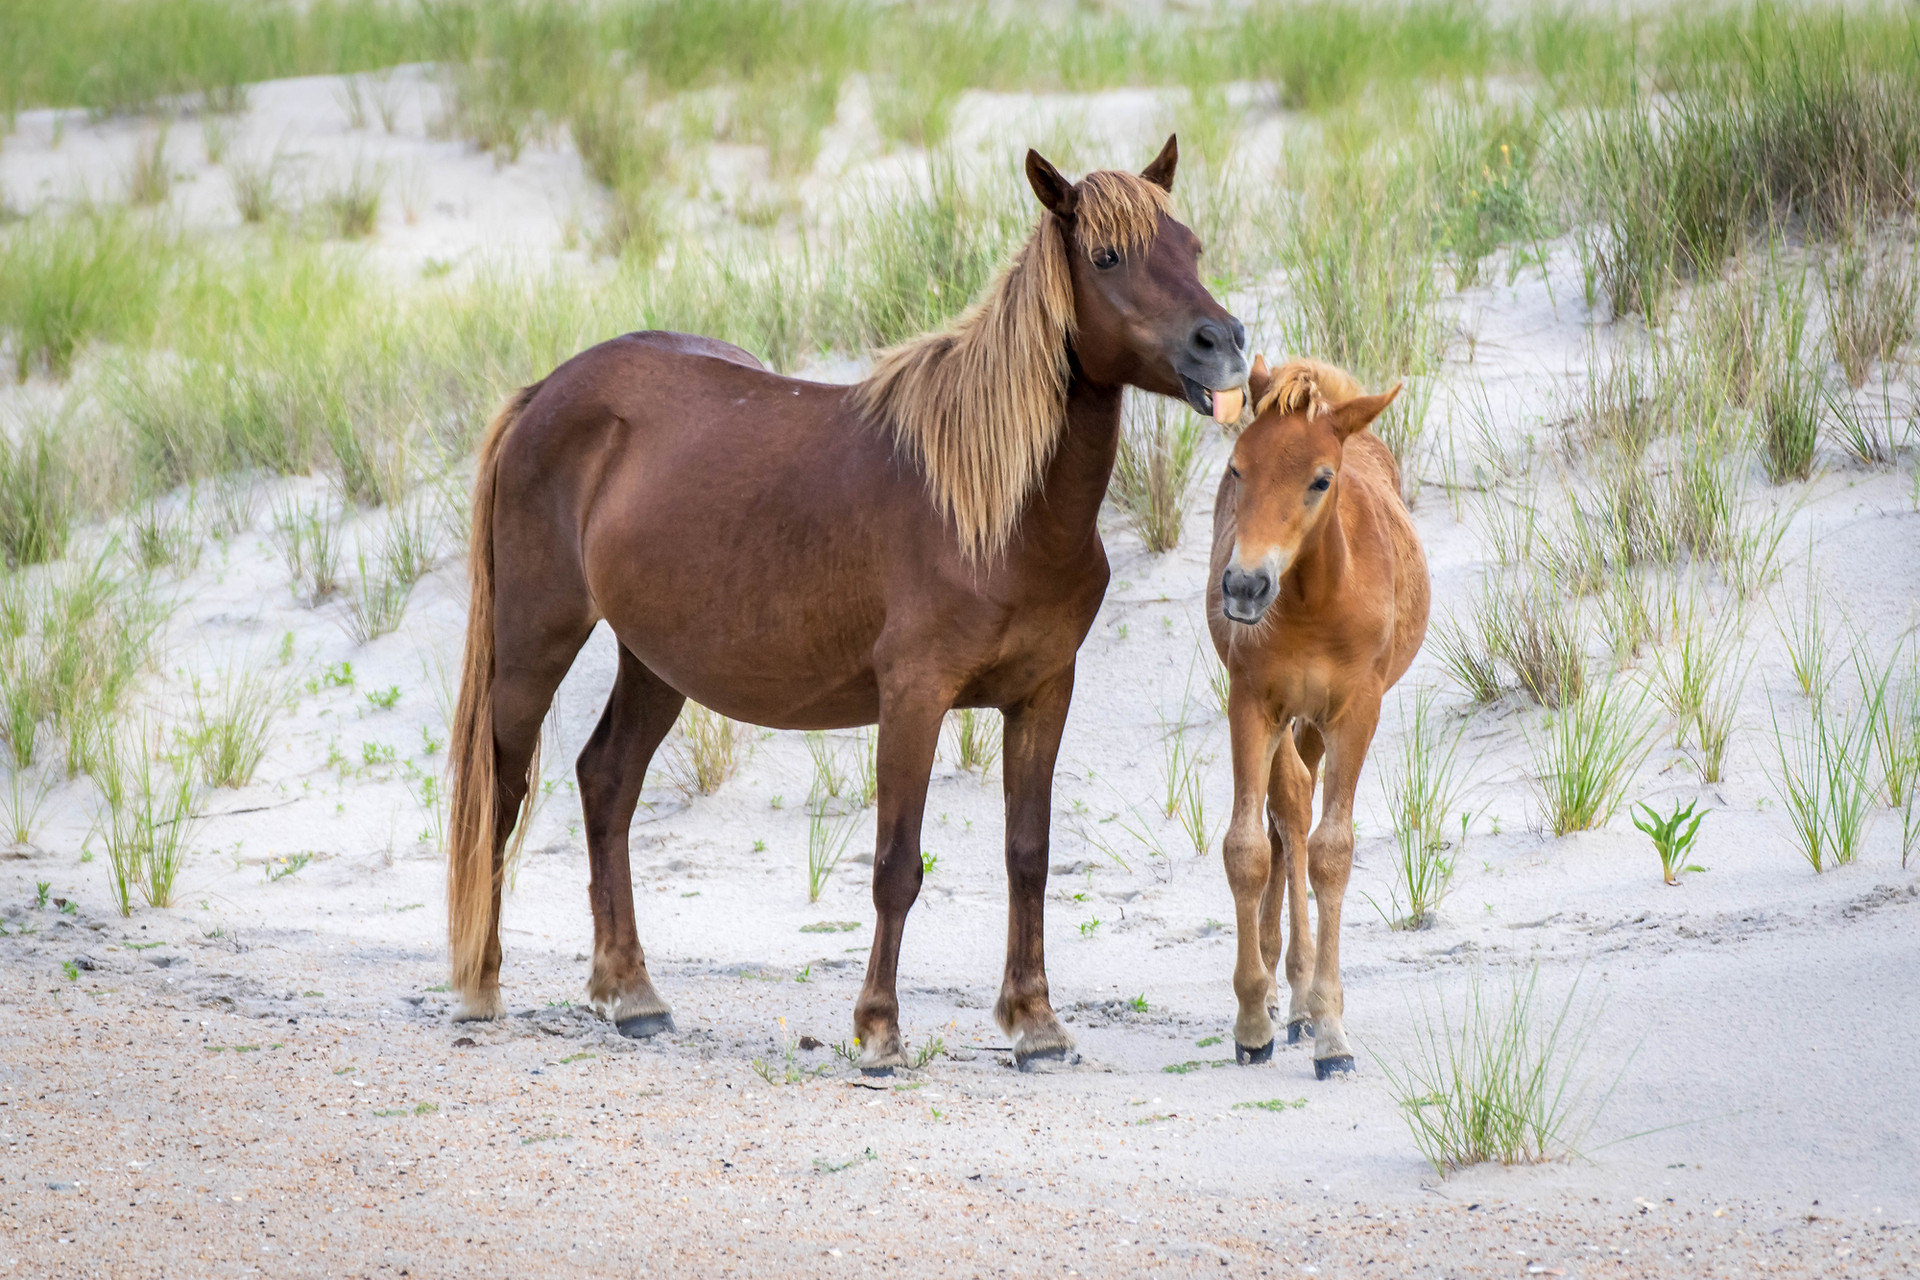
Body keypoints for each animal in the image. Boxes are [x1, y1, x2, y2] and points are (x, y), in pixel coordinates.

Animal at [446, 136, 1249, 1072]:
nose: (1226, 344)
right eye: (1107, 256)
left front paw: (1036, 1023)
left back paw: (632, 993)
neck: (992, 508)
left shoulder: (1044, 694)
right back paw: (481, 985)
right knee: (501, 790)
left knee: (605, 782)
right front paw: (878, 1028)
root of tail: (544, 392)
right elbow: (896, 865)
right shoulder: (914, 696)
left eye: (1190, 246)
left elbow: (1028, 855)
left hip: (655, 662)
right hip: (533, 641)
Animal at [1206, 356, 1429, 1078]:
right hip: (1288, 722)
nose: (1244, 587)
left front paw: (1333, 1031)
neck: (1312, 599)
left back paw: (1305, 1003)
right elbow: (1248, 847)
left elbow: (1332, 854)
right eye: (1237, 468)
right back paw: (1287, 994)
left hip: (1312, 726)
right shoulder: (1252, 702)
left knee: (1299, 819)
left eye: (1320, 479)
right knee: (1287, 812)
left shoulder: (1356, 711)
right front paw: (1253, 1020)